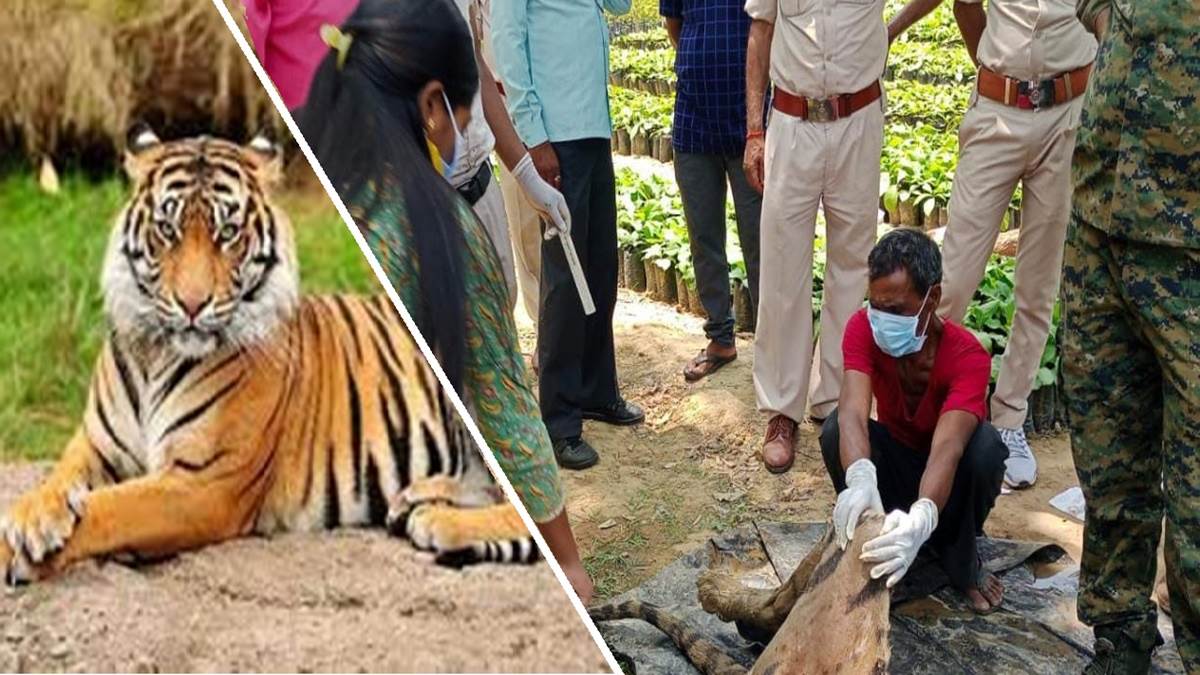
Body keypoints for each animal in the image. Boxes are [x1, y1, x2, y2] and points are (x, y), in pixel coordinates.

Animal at [0, 125, 538, 585]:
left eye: (228, 233)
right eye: (167, 230)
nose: (192, 305)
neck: (154, 352)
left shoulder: (205, 483)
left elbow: (110, 509)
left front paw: (18, 550)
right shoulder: (97, 443)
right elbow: (60, 479)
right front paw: (33, 515)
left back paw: (440, 521)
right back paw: (416, 497)